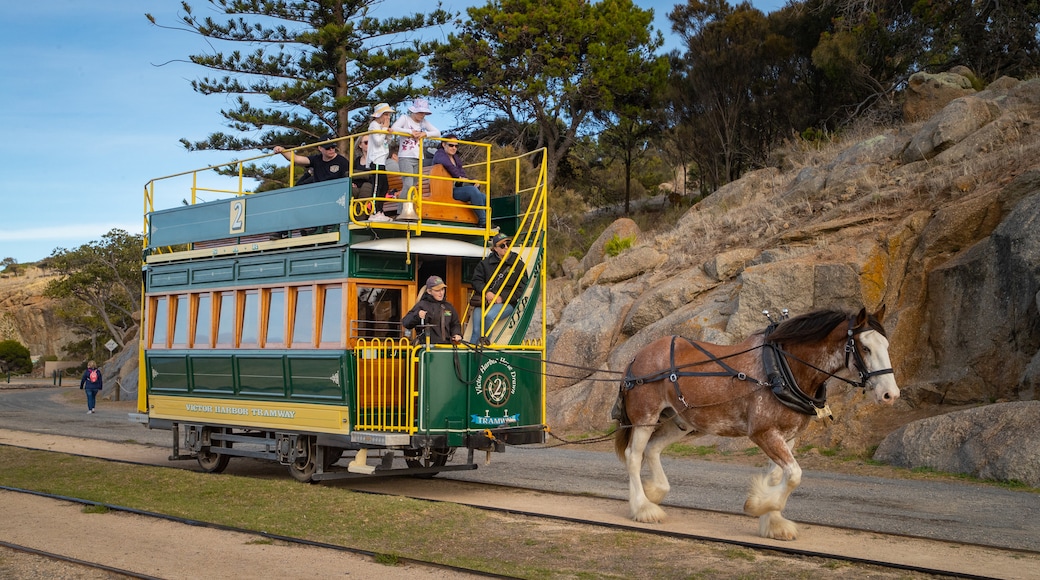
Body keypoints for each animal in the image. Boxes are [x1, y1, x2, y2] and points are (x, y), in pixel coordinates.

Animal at [611, 309, 898, 540]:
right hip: (646, 417)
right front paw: (758, 505)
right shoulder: (763, 433)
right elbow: (794, 475)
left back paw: (654, 492)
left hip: (679, 421)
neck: (783, 369)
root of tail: (638, 356)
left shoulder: (786, 436)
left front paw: (773, 521)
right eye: (865, 348)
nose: (890, 394)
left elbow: (779, 476)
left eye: (886, 345)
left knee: (652, 450)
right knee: (634, 455)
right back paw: (642, 507)